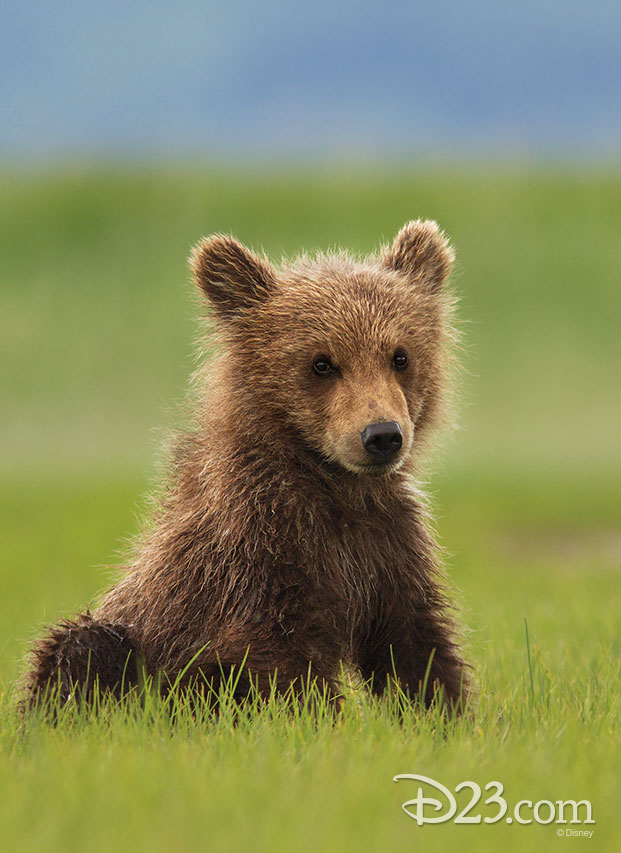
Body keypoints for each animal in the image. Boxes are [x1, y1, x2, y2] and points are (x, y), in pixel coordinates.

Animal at [25, 220, 470, 713]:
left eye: (400, 356)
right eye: (321, 362)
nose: (382, 435)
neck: (335, 488)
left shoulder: (388, 547)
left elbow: (415, 648)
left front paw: (445, 713)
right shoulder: (257, 554)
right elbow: (283, 661)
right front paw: (322, 717)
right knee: (84, 647)